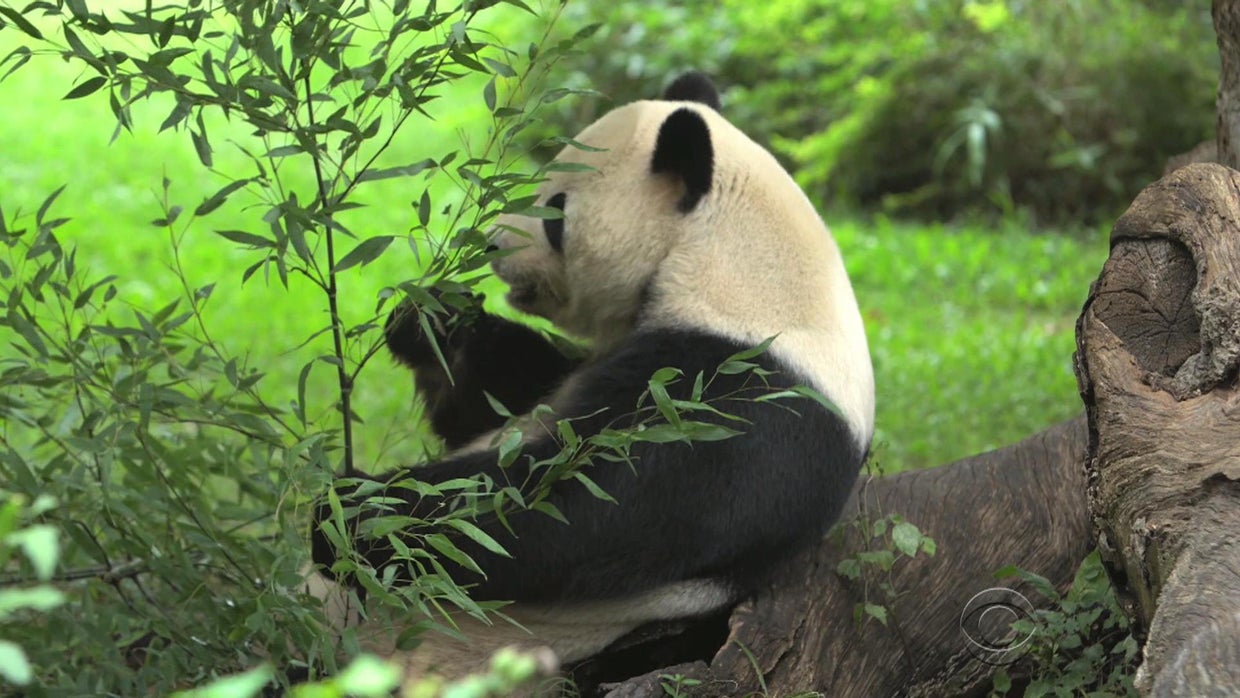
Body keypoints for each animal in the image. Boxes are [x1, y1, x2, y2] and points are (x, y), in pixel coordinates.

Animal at [308, 71, 875, 687]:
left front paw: (348, 510)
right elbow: (498, 397)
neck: (734, 263)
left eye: (556, 209)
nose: (492, 242)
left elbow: (563, 509)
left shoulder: (742, 407)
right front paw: (430, 318)